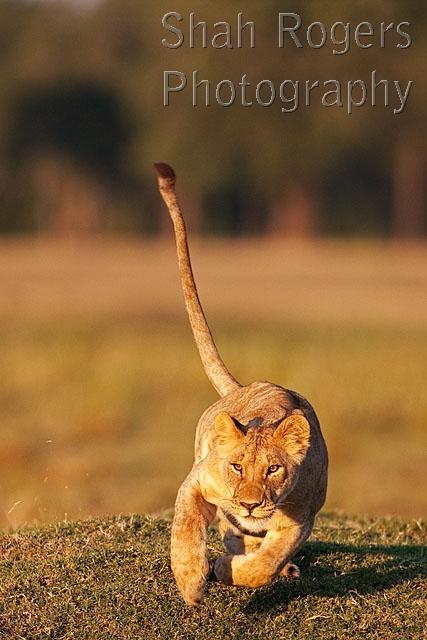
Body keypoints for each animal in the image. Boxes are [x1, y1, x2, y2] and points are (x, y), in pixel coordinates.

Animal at [154, 163, 328, 606]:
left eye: (273, 469)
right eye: (236, 466)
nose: (250, 504)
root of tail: (243, 386)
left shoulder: (299, 520)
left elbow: (264, 564)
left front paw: (232, 571)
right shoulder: (197, 482)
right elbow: (184, 528)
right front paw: (192, 579)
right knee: (226, 528)